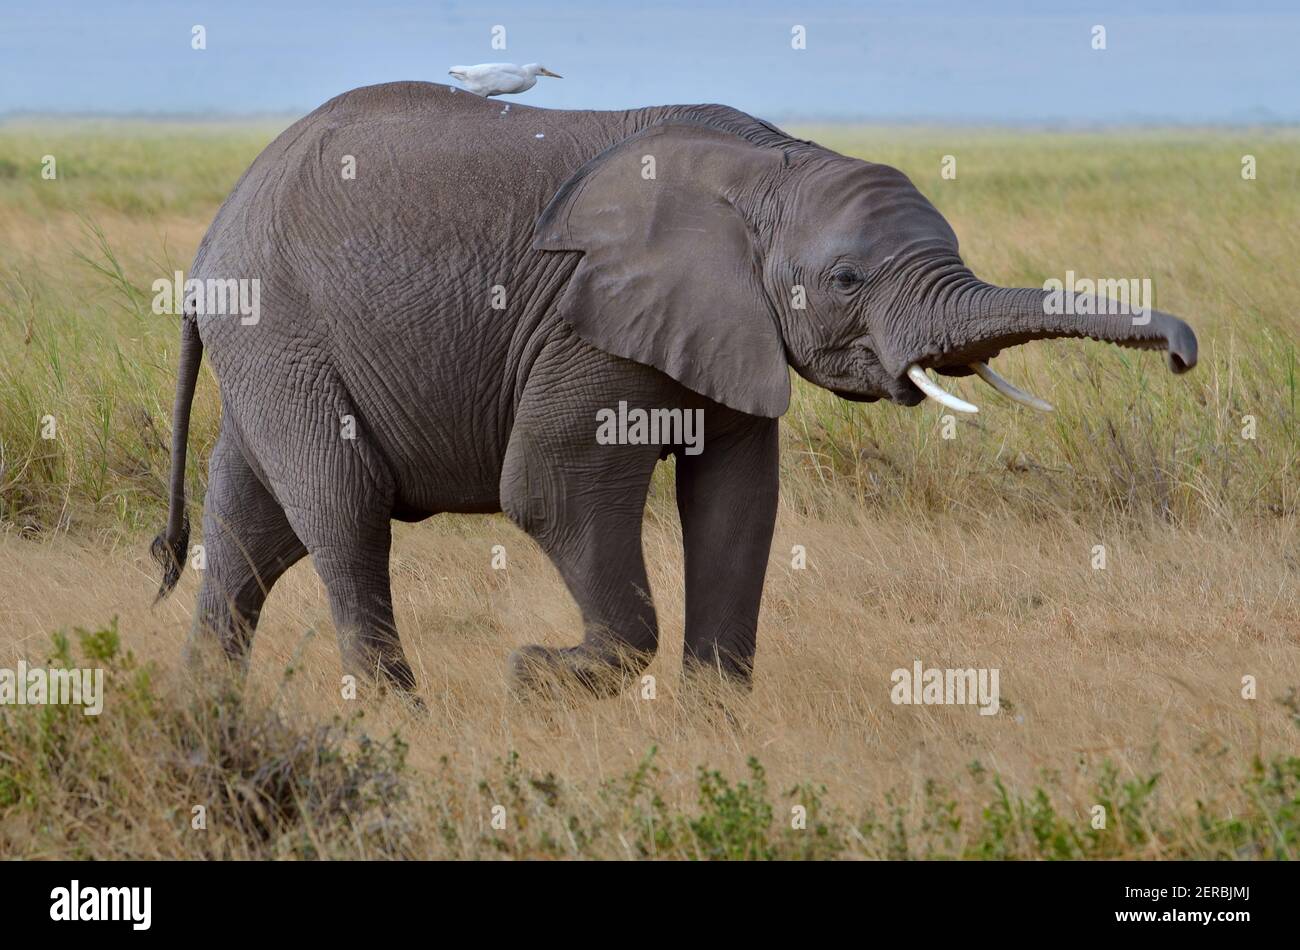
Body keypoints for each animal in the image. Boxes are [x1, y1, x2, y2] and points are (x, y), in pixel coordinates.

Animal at [151, 81, 1197, 699]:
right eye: (847, 279)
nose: (1185, 350)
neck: (773, 163)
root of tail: (208, 242)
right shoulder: (586, 314)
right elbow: (555, 488)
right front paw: (534, 676)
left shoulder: (726, 324)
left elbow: (739, 502)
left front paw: (715, 724)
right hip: (283, 333)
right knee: (343, 510)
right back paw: (397, 717)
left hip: (271, 347)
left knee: (251, 525)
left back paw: (204, 708)